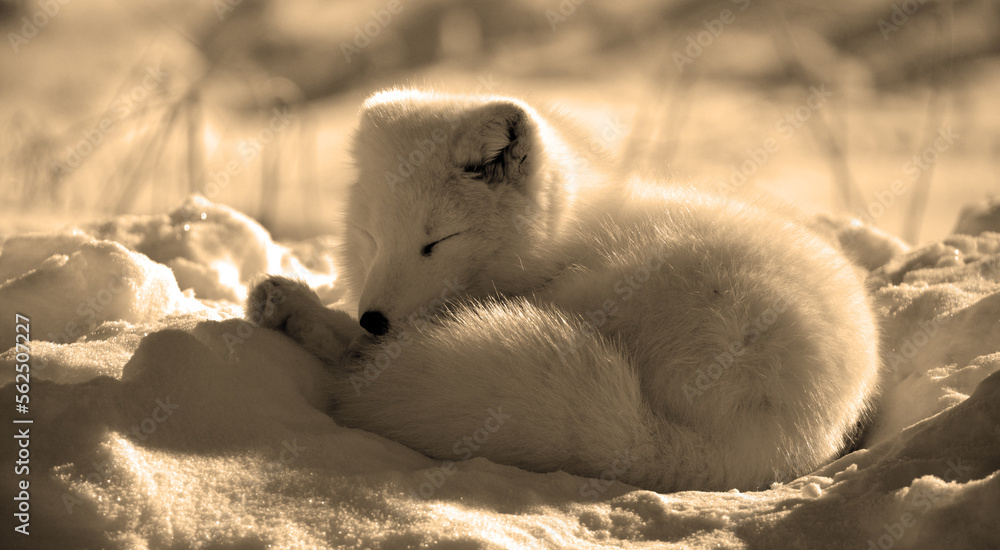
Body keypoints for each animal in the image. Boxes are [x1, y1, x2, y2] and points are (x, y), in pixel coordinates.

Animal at [246, 89, 880, 492]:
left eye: (437, 241)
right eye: (372, 237)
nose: (374, 316)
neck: (558, 236)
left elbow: (365, 345)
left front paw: (309, 311)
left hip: (616, 290)